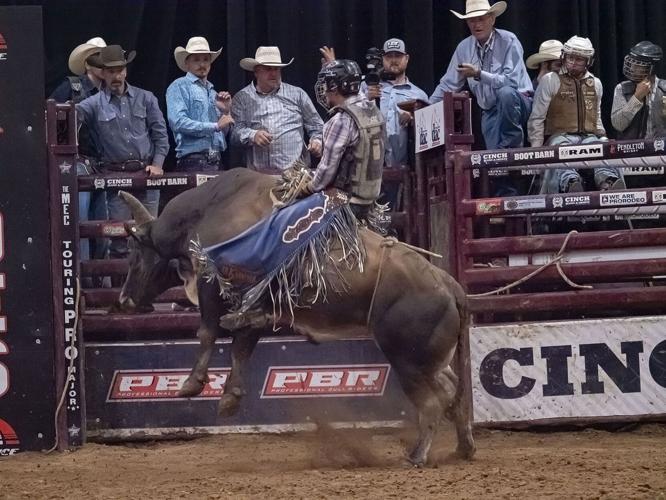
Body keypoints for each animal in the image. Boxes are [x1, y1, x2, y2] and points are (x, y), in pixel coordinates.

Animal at [114, 168, 475, 466]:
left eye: (135, 253)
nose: (123, 300)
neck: (212, 209)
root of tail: (449, 285)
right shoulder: (254, 297)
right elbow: (241, 345)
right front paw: (230, 397)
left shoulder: (212, 283)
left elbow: (208, 331)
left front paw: (192, 383)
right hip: (432, 359)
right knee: (453, 392)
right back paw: (463, 447)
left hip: (408, 360)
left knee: (432, 402)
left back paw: (417, 455)